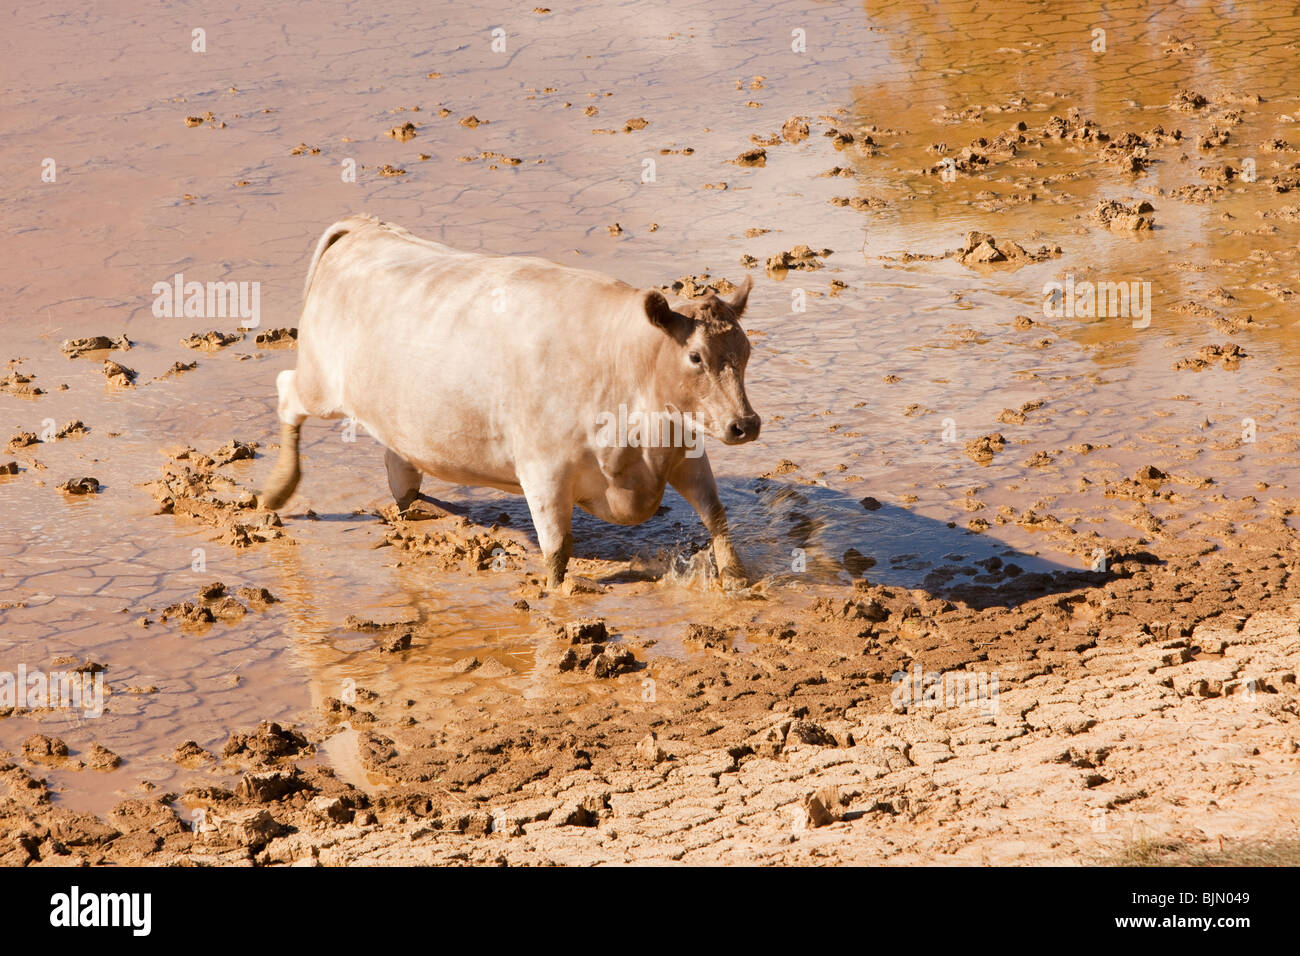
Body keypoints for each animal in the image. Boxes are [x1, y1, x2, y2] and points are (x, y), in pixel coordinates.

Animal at [256, 215, 761, 588]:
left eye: (745, 350)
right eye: (694, 357)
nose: (745, 424)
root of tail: (364, 229)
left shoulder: (684, 451)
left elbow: (716, 515)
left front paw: (737, 577)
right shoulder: (543, 472)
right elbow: (557, 554)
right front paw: (558, 596)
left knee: (399, 464)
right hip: (321, 383)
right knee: (286, 392)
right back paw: (277, 488)